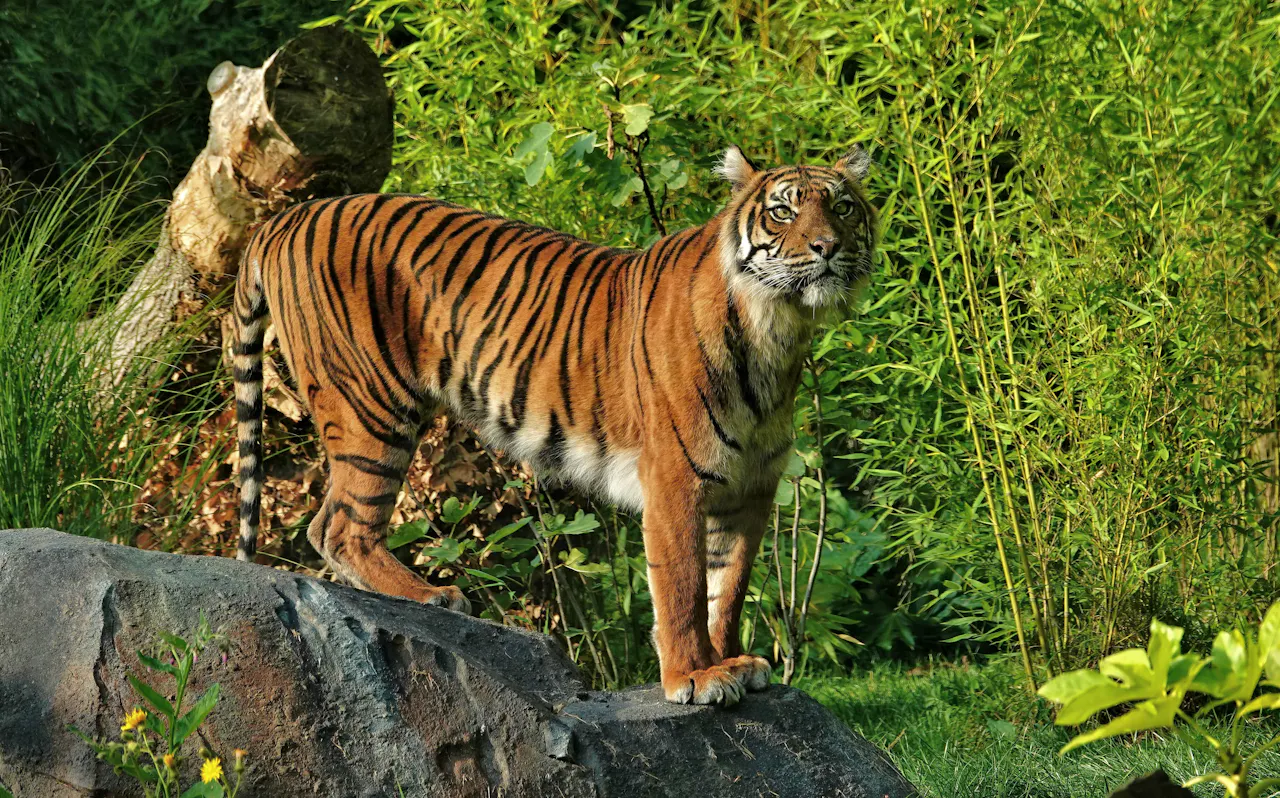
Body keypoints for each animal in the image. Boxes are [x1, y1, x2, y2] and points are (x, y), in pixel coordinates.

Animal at [231, 144, 877, 705]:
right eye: (782, 210)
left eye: (842, 207)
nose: (826, 246)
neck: (778, 329)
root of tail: (287, 216)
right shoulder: (675, 479)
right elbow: (684, 586)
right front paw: (693, 676)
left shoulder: (750, 486)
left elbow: (730, 586)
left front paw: (732, 661)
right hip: (372, 405)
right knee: (345, 528)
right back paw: (432, 596)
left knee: (325, 525)